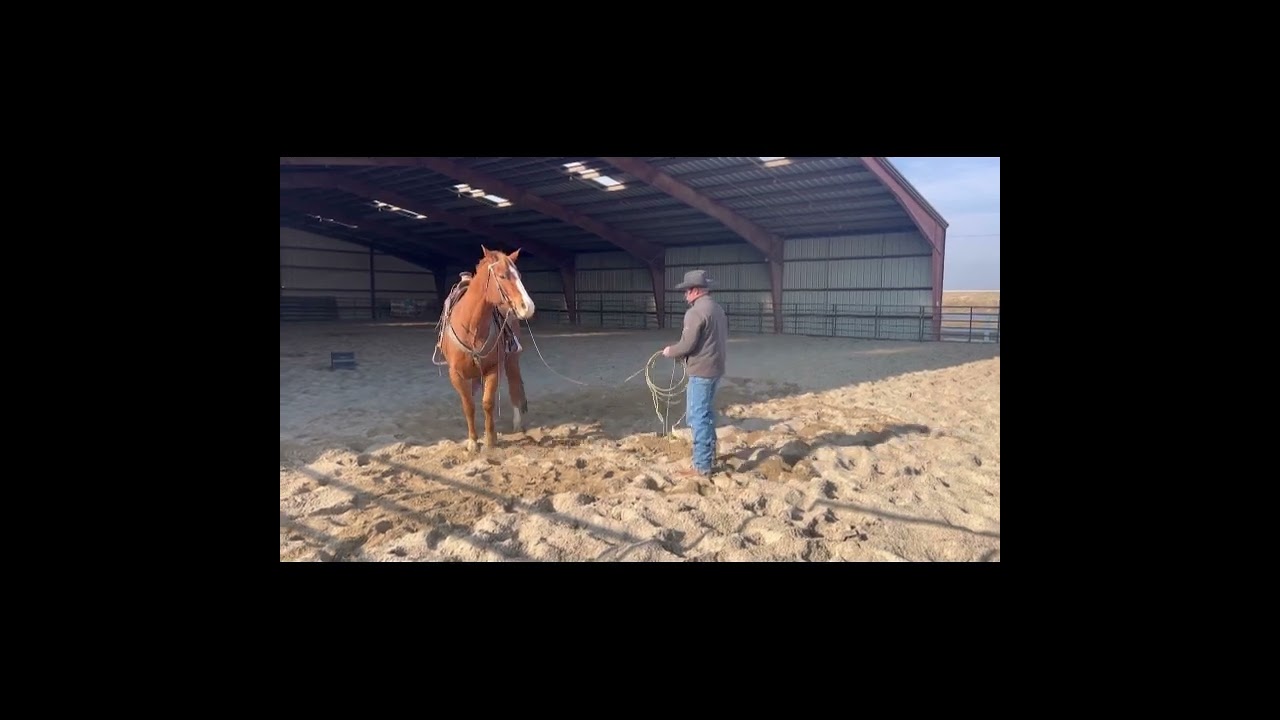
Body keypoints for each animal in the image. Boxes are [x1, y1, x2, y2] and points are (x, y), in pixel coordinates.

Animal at [433, 246, 536, 453]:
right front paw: (473, 441)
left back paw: (517, 422)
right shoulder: (456, 374)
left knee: (514, 386)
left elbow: (487, 403)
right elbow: (469, 405)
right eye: (502, 276)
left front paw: (490, 439)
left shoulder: (493, 369)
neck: (471, 326)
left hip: (511, 360)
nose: (527, 307)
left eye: (519, 275)